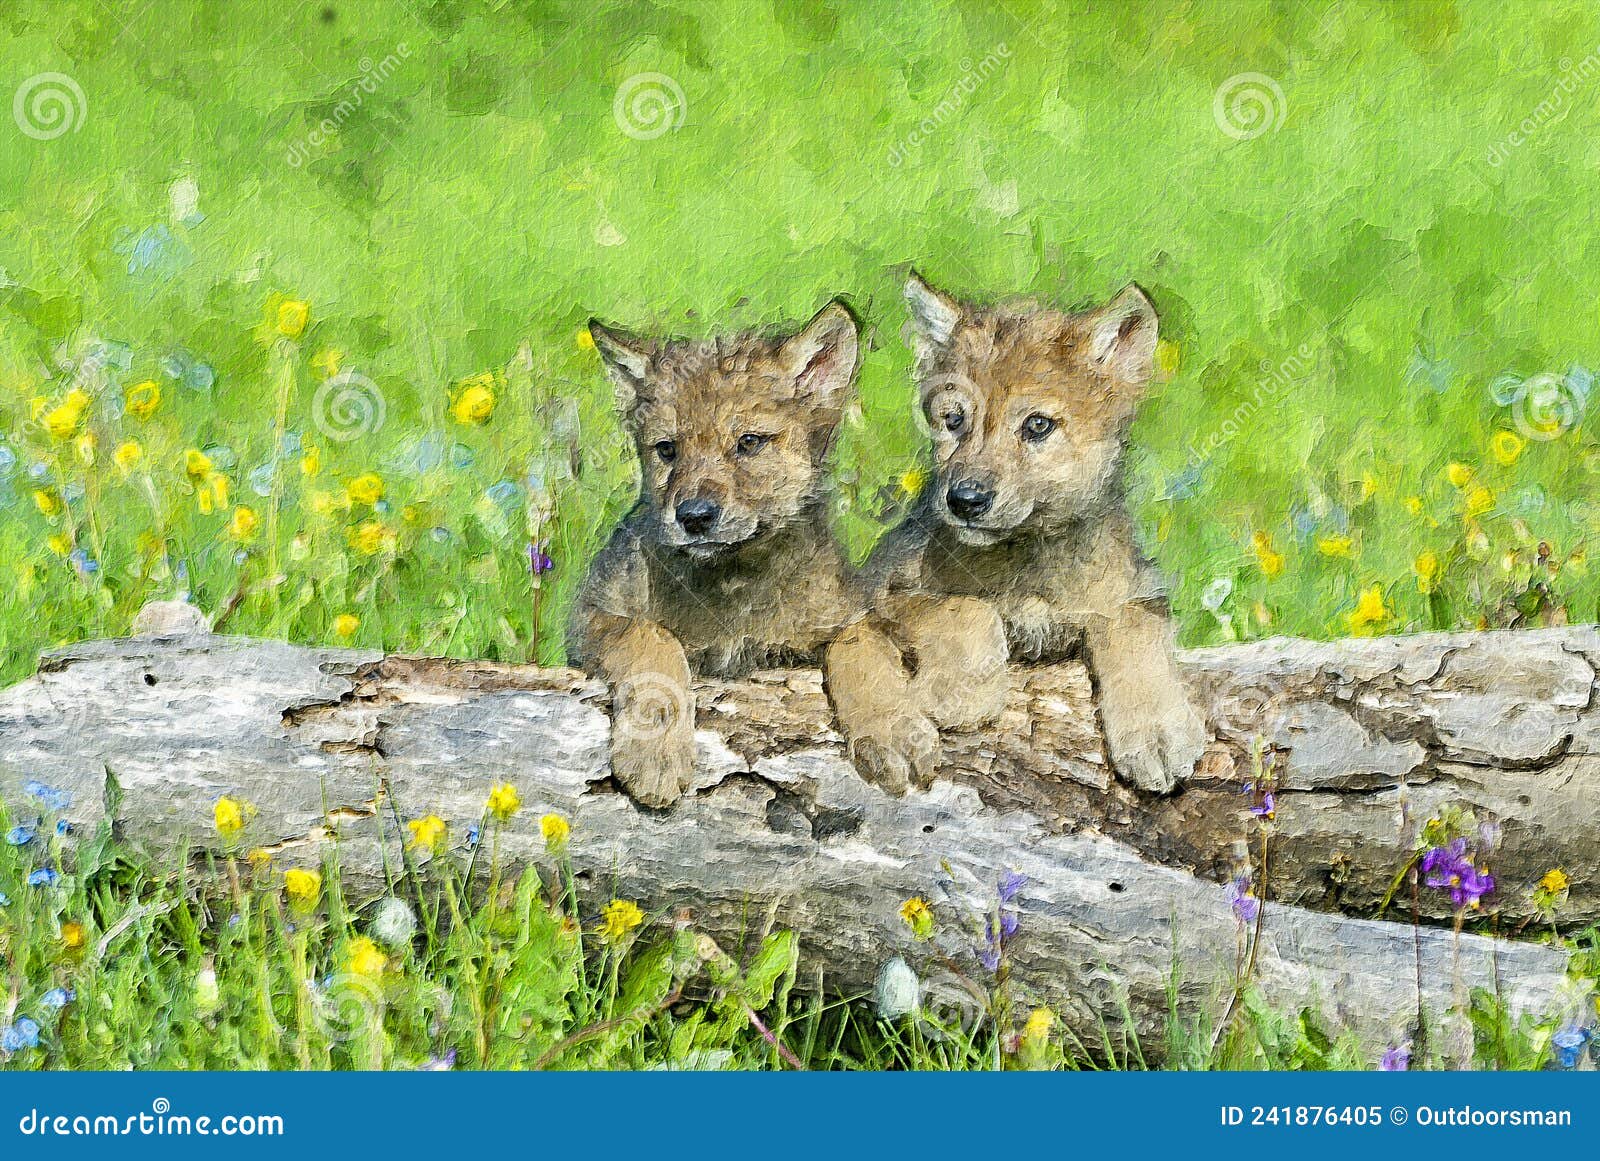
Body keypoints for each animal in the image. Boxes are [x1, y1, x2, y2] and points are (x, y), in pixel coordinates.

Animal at [572, 302, 864, 807]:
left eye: (748, 442)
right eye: (667, 449)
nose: (694, 516)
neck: (732, 583)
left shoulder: (835, 620)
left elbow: (861, 642)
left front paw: (896, 734)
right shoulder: (592, 617)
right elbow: (651, 637)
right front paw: (655, 756)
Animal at [825, 273, 1208, 795]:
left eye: (1037, 425)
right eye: (953, 419)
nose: (964, 500)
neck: (1027, 563)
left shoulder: (1134, 590)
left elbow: (1132, 629)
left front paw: (1158, 733)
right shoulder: (887, 590)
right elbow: (965, 609)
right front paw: (960, 693)